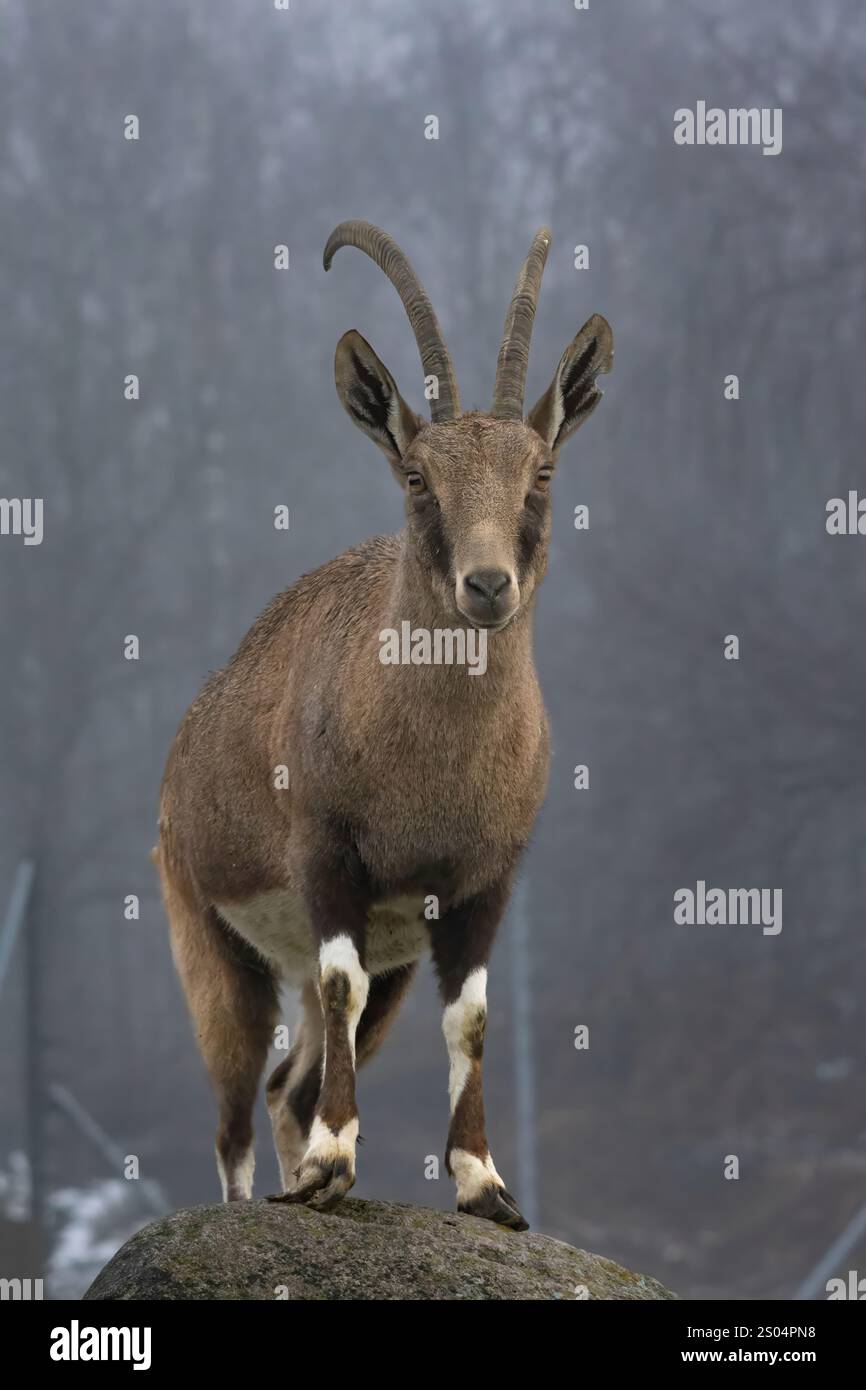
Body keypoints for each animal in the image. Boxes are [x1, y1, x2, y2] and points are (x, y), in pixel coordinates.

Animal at [155, 221, 613, 1230]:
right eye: (417, 475)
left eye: (542, 471)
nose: (487, 585)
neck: (428, 768)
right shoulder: (329, 858)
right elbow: (337, 981)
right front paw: (336, 1161)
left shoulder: (481, 883)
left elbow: (470, 1016)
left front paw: (483, 1183)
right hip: (211, 941)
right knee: (235, 1107)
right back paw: (266, 1193)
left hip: (389, 956)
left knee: (287, 1083)